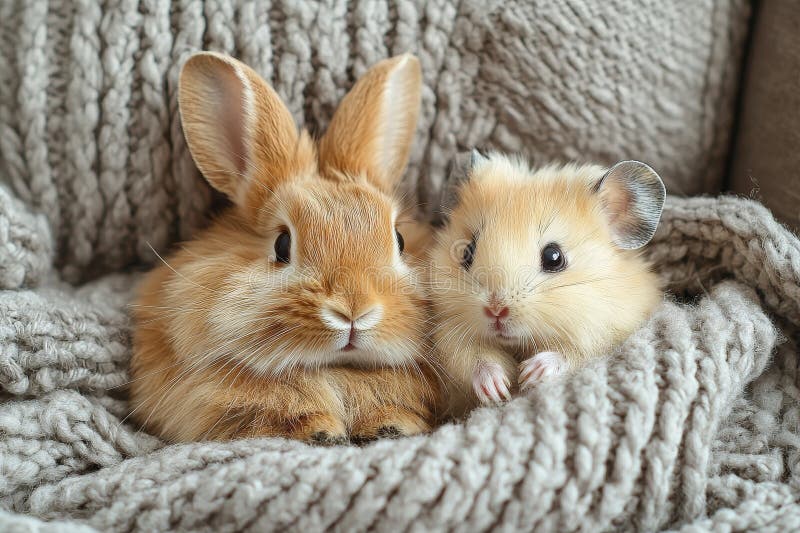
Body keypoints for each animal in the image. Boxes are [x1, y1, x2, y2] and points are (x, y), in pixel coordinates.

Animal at [129, 52, 440, 444]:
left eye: (399, 240)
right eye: (282, 244)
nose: (354, 311)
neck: (335, 370)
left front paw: (391, 427)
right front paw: (321, 432)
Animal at [427, 151, 665, 416]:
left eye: (554, 257)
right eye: (467, 252)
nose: (495, 311)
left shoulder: (608, 335)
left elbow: (572, 355)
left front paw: (530, 374)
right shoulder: (448, 331)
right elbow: (473, 358)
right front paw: (499, 389)